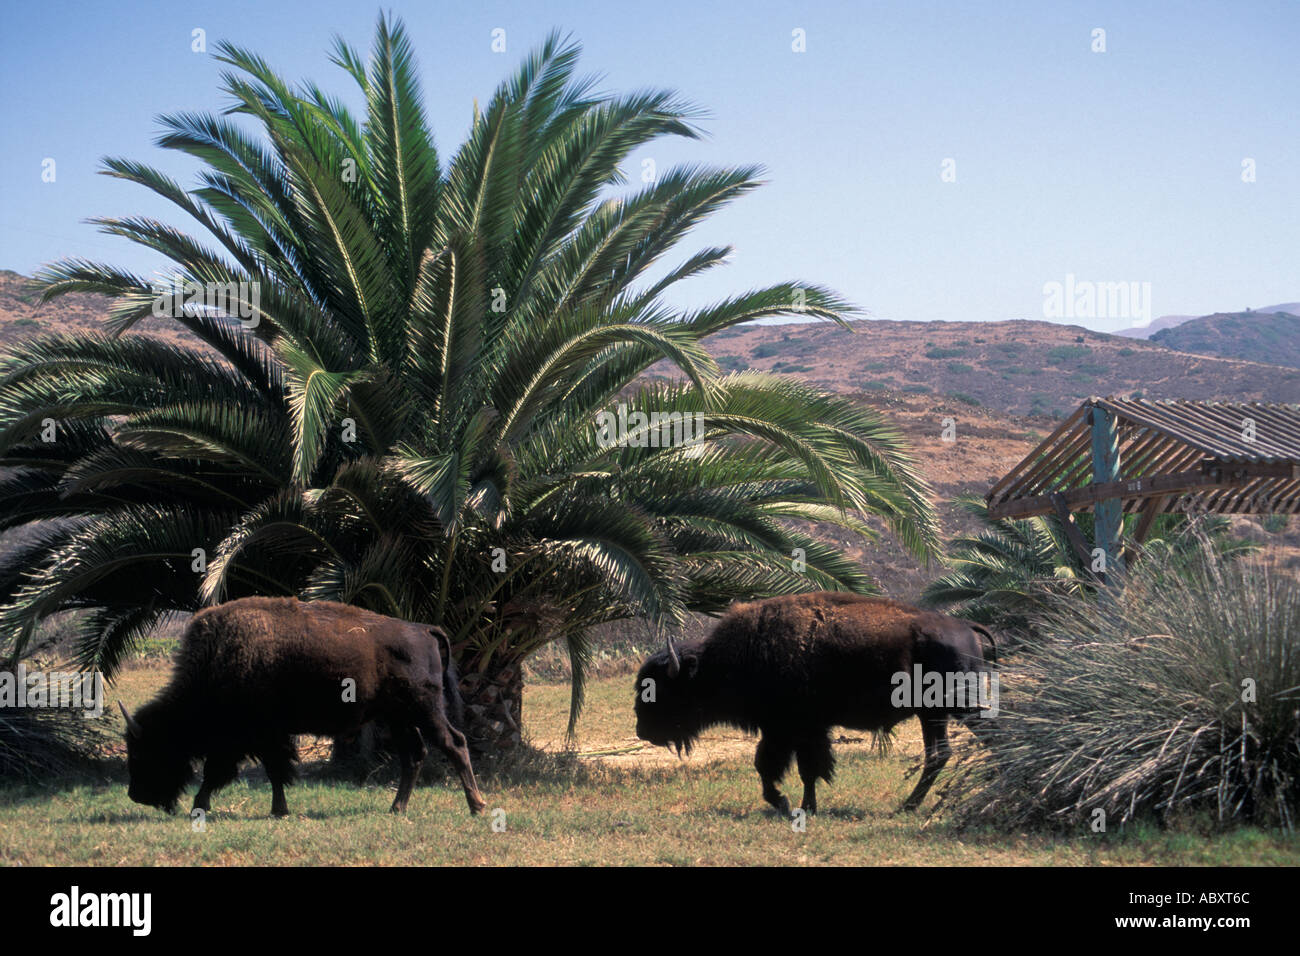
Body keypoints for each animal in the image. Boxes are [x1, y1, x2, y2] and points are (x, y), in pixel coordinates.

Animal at [119, 596, 487, 817]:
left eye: (145, 750)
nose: (136, 795)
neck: (220, 658)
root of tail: (423, 629)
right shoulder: (256, 737)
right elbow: (253, 770)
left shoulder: (257, 736)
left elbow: (254, 770)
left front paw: (272, 810)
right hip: (399, 717)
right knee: (414, 755)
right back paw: (397, 808)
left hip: (425, 709)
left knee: (454, 743)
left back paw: (477, 806)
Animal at [634, 592, 996, 815]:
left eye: (661, 689)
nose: (641, 730)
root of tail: (965, 626)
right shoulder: (793, 731)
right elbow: (791, 767)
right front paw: (797, 804)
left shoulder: (792, 729)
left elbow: (786, 767)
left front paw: (788, 803)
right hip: (935, 714)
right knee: (943, 752)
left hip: (955, 709)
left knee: (961, 747)